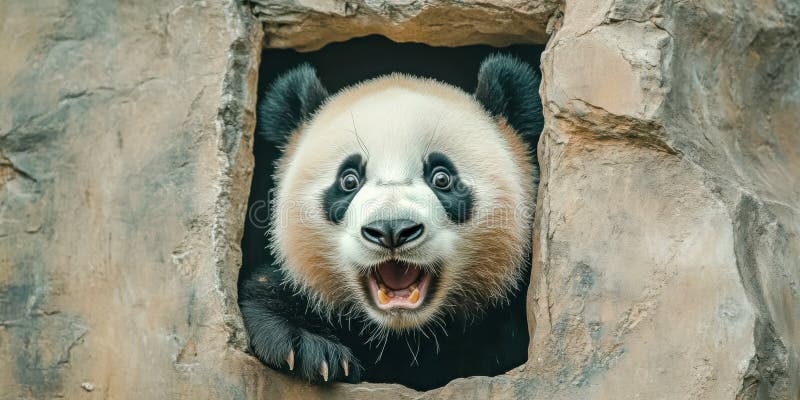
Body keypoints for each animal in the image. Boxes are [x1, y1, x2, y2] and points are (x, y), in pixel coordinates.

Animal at [239, 54, 543, 391]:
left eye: (442, 177)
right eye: (349, 180)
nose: (392, 230)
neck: (403, 334)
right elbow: (265, 295)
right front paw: (307, 347)